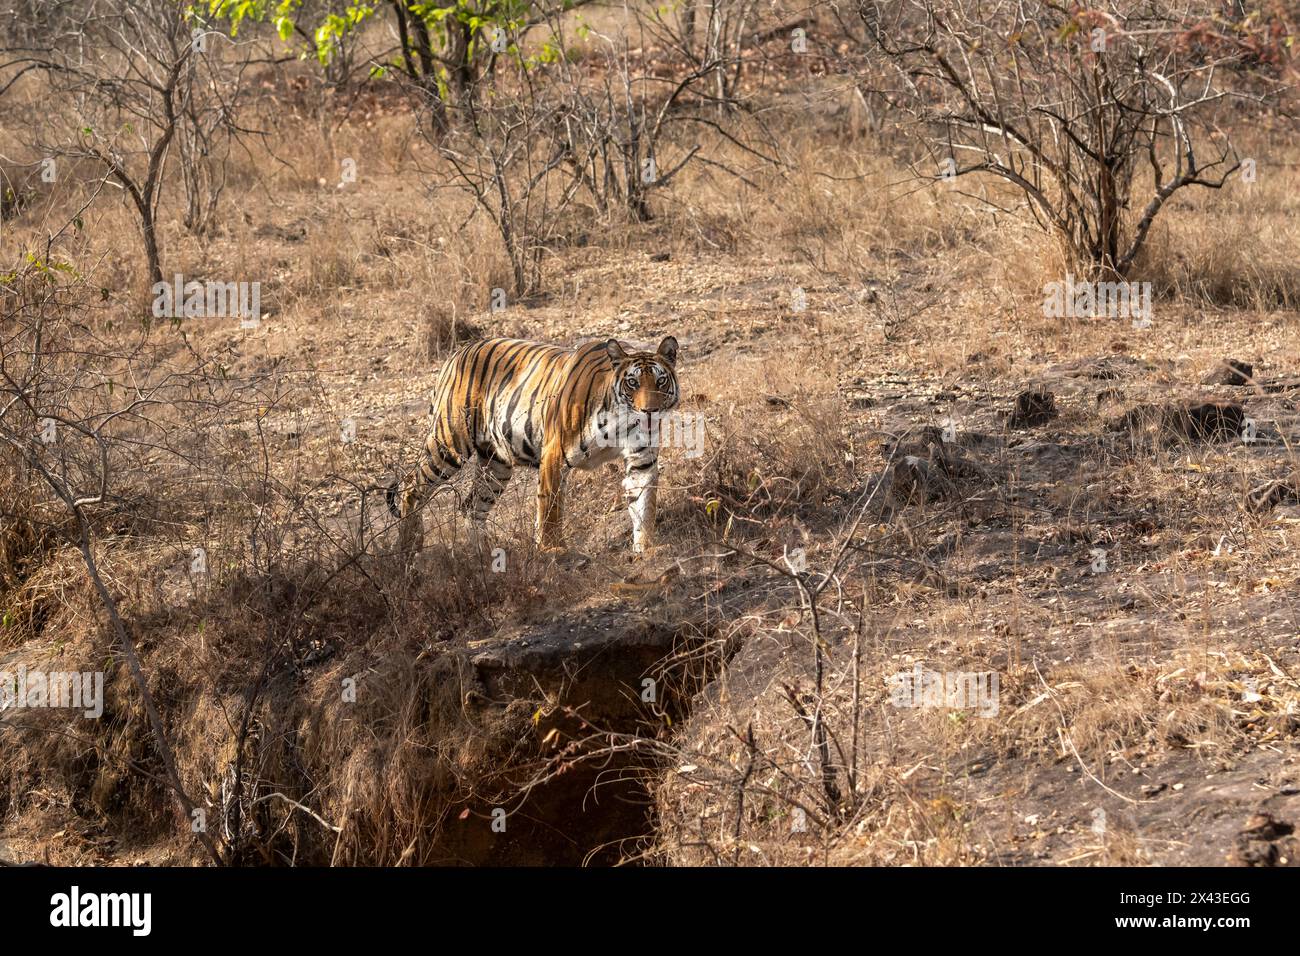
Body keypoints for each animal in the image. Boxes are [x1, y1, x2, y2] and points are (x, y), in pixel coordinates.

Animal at [387, 335, 680, 556]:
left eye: (660, 381)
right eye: (632, 383)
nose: (650, 411)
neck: (620, 423)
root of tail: (456, 354)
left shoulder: (641, 461)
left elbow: (644, 504)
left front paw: (647, 547)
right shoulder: (555, 453)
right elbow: (550, 505)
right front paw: (552, 549)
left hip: (496, 464)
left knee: (472, 506)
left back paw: (483, 555)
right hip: (449, 443)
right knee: (412, 485)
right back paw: (410, 544)